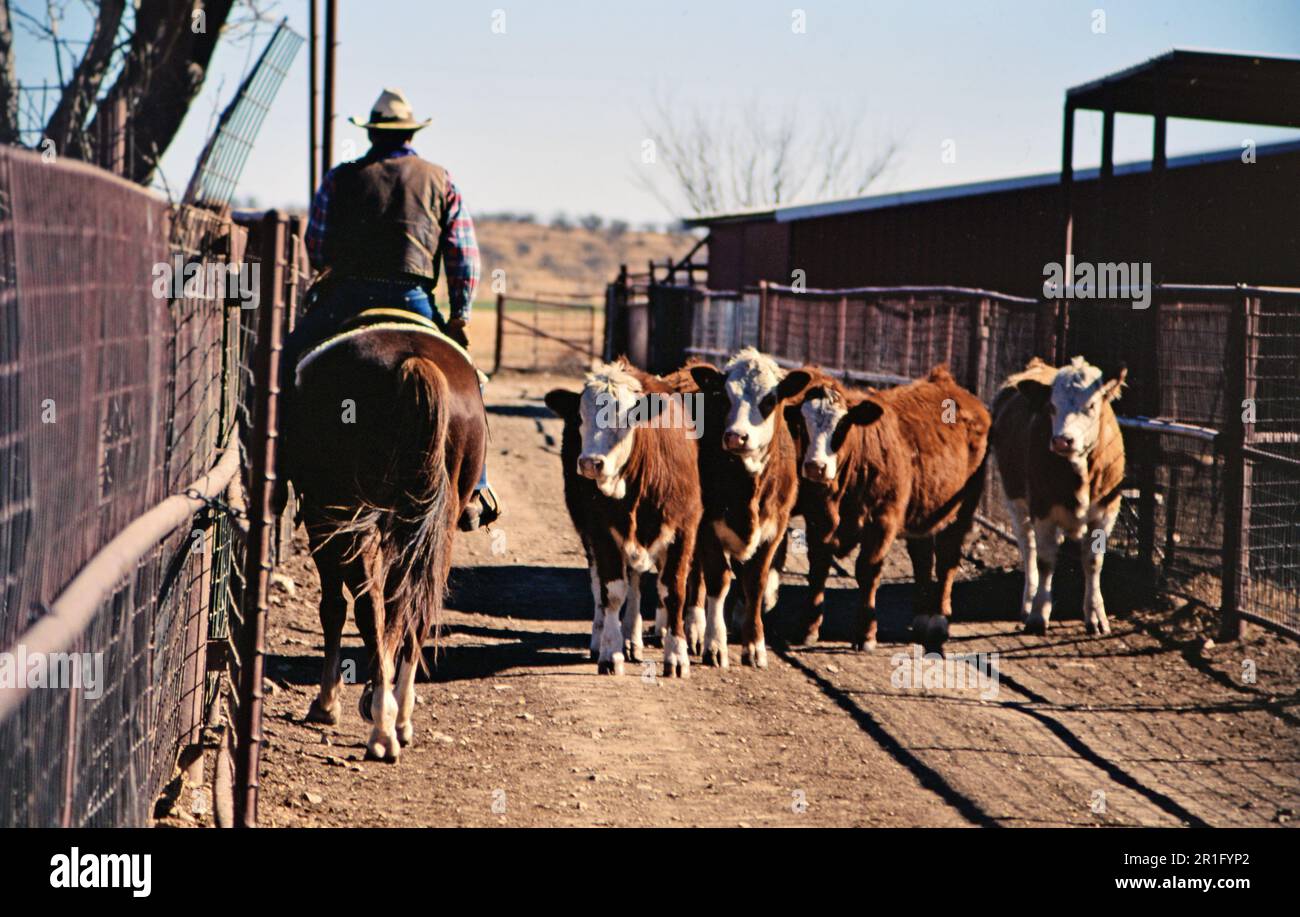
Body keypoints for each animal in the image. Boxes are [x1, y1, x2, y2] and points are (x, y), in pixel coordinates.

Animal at [545, 360, 703, 676]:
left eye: (624, 418)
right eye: (580, 416)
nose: (590, 463)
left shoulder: (684, 529)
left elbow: (673, 591)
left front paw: (676, 654)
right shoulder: (601, 532)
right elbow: (612, 592)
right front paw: (610, 652)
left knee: (638, 581)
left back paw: (634, 636)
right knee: (602, 586)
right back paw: (605, 638)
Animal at [688, 348, 809, 669]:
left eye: (769, 400)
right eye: (724, 396)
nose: (736, 436)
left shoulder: (773, 532)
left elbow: (756, 583)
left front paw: (754, 644)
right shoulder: (708, 528)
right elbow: (717, 581)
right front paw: (714, 644)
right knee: (695, 574)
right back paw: (694, 627)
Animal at [789, 365, 989, 653]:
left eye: (842, 425)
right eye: (803, 425)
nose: (816, 467)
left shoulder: (882, 521)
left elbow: (867, 570)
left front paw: (866, 634)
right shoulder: (818, 518)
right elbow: (818, 568)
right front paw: (807, 628)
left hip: (961, 511)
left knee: (946, 561)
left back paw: (939, 619)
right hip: (924, 510)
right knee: (922, 558)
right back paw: (922, 616)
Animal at [990, 356, 1127, 636]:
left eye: (1091, 405)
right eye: (1052, 406)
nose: (1063, 440)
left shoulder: (1106, 511)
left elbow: (1093, 562)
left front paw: (1095, 615)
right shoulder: (1042, 508)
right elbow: (1045, 561)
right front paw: (1038, 614)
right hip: (1015, 500)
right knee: (1029, 548)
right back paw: (1028, 602)